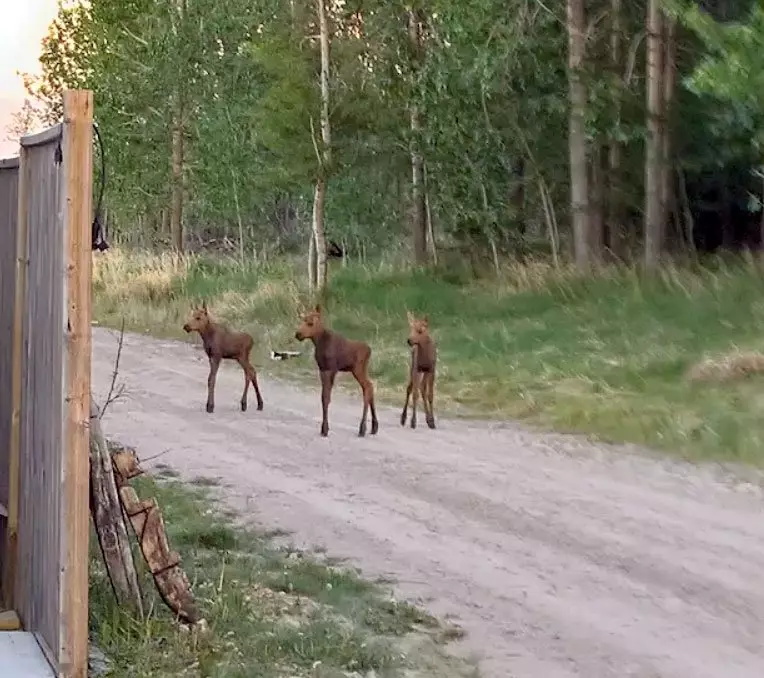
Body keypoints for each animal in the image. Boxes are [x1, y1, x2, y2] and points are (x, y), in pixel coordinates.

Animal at [294, 306, 378, 438]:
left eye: (310, 323)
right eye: (303, 319)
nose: (298, 334)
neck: (319, 341)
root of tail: (369, 350)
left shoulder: (332, 369)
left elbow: (327, 398)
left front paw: (325, 429)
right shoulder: (322, 369)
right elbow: (323, 397)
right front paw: (324, 428)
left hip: (358, 369)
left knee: (368, 387)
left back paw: (362, 428)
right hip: (361, 370)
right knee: (370, 386)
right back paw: (374, 427)